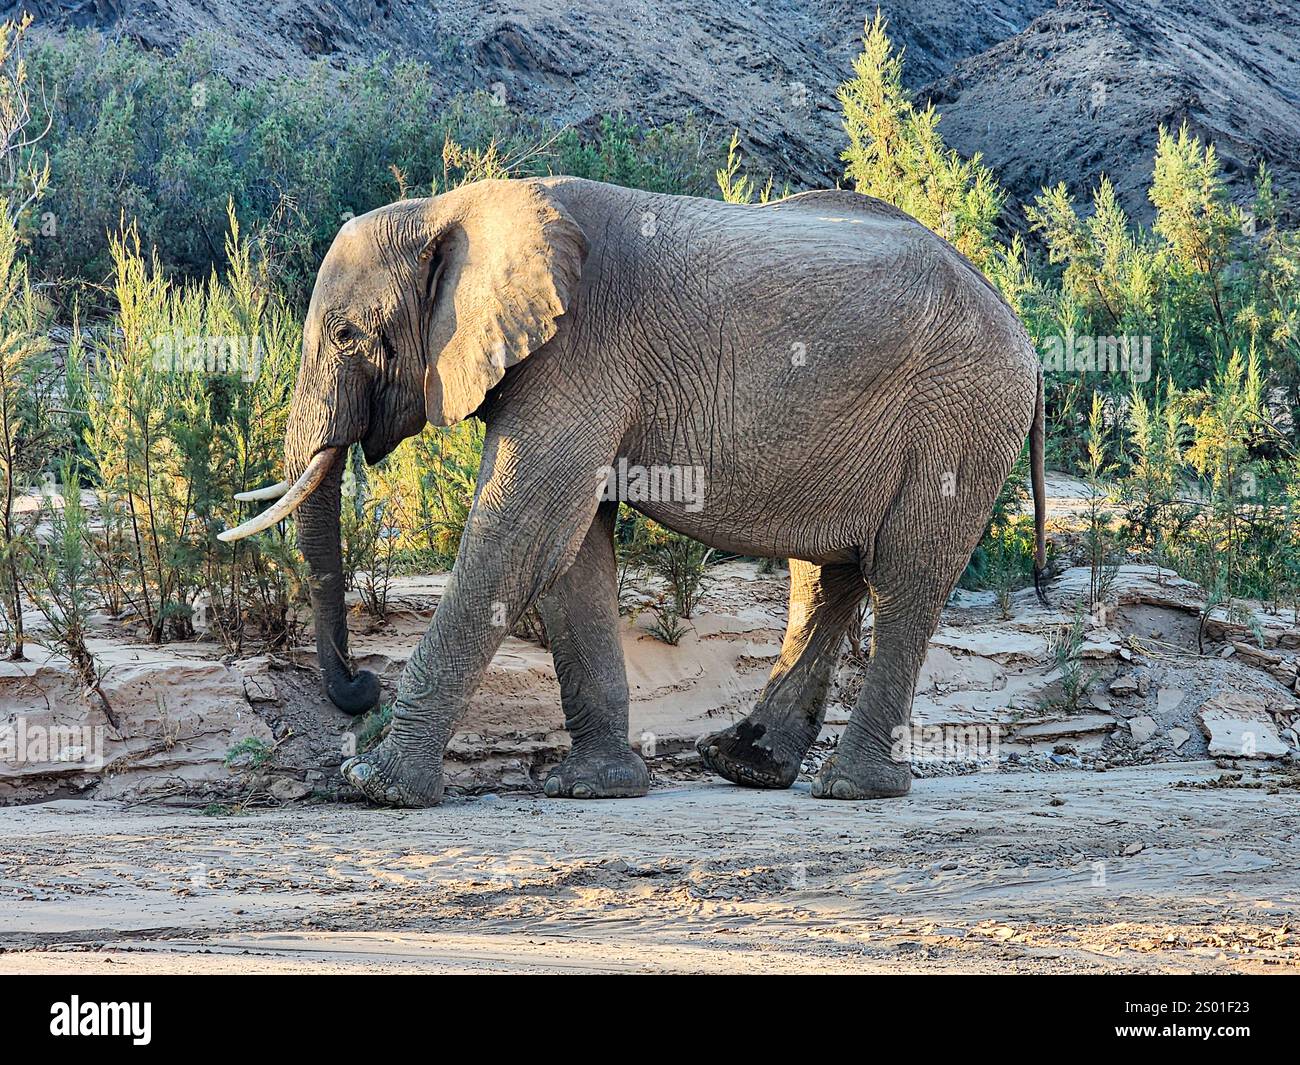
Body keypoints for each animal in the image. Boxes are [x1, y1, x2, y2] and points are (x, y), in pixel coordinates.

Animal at [220, 176, 1047, 808]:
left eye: (348, 337)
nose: (359, 684)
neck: (453, 207)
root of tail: (1026, 335)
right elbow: (571, 550)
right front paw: (594, 786)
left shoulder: (581, 352)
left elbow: (522, 532)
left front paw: (375, 785)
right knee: (826, 577)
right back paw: (742, 764)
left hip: (961, 416)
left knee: (905, 576)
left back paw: (850, 787)